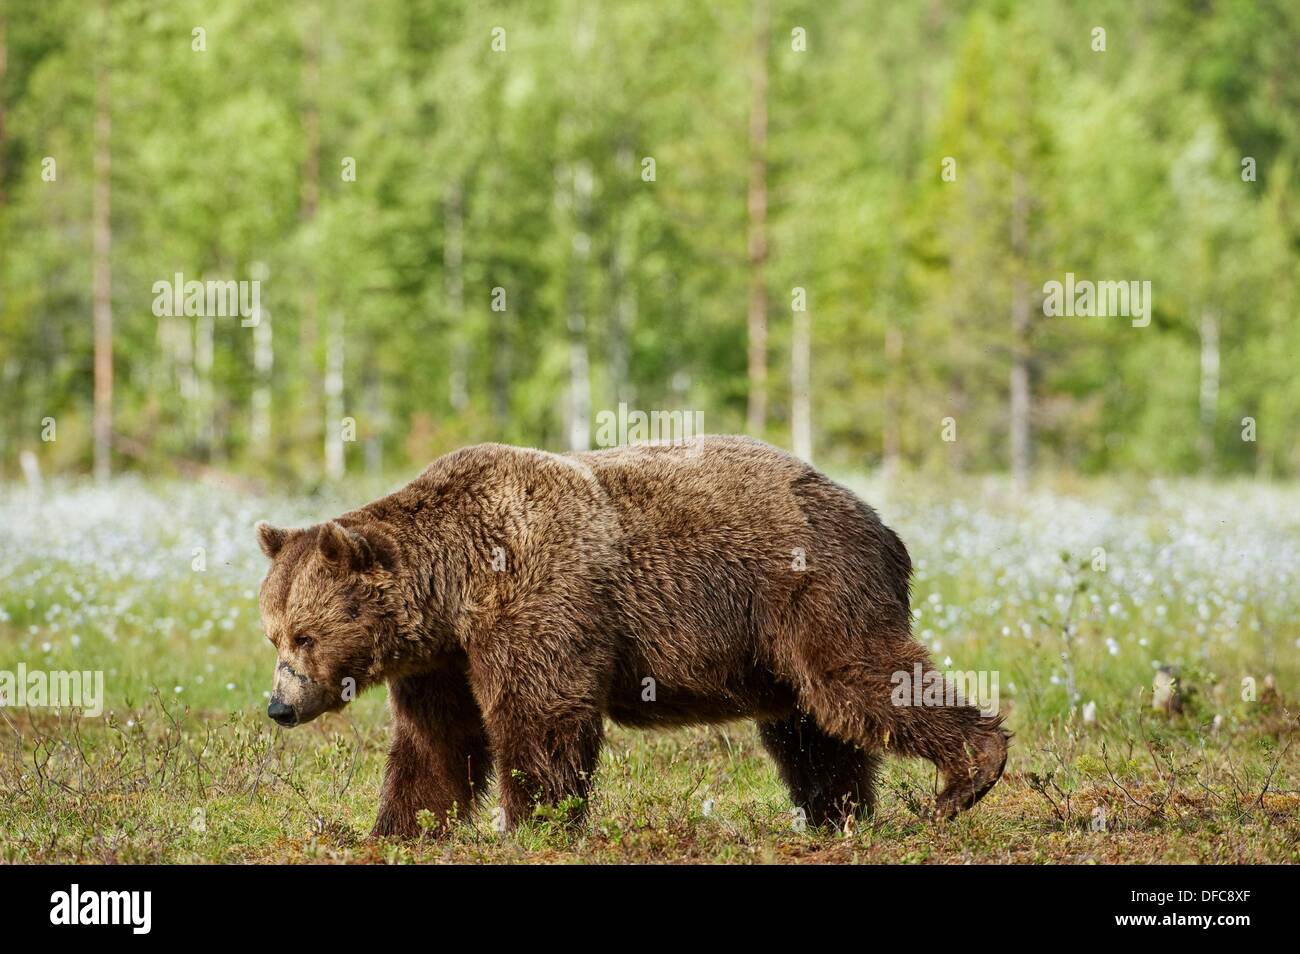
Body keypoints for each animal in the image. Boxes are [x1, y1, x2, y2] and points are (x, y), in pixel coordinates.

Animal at [255, 435, 1008, 838]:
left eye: (305, 635)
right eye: (273, 636)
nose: (279, 707)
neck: (455, 588)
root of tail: (880, 522)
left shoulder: (536, 597)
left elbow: (539, 714)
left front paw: (531, 821)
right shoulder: (440, 657)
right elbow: (437, 744)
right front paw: (397, 828)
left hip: (809, 586)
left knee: (856, 678)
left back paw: (966, 775)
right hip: (774, 643)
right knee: (810, 730)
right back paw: (837, 813)